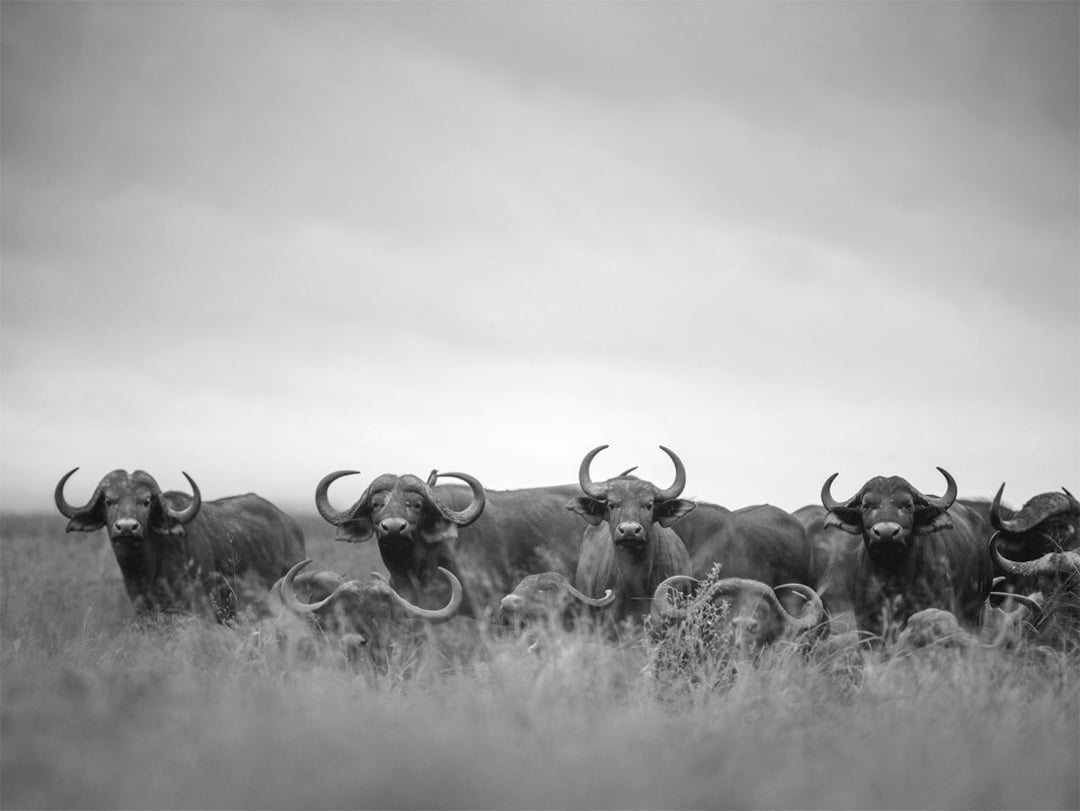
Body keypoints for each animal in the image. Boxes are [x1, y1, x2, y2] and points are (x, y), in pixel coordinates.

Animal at [818, 467, 994, 641]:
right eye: (866, 505)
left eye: (908, 505)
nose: (886, 532)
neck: (892, 577)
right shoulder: (865, 620)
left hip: (977, 609)